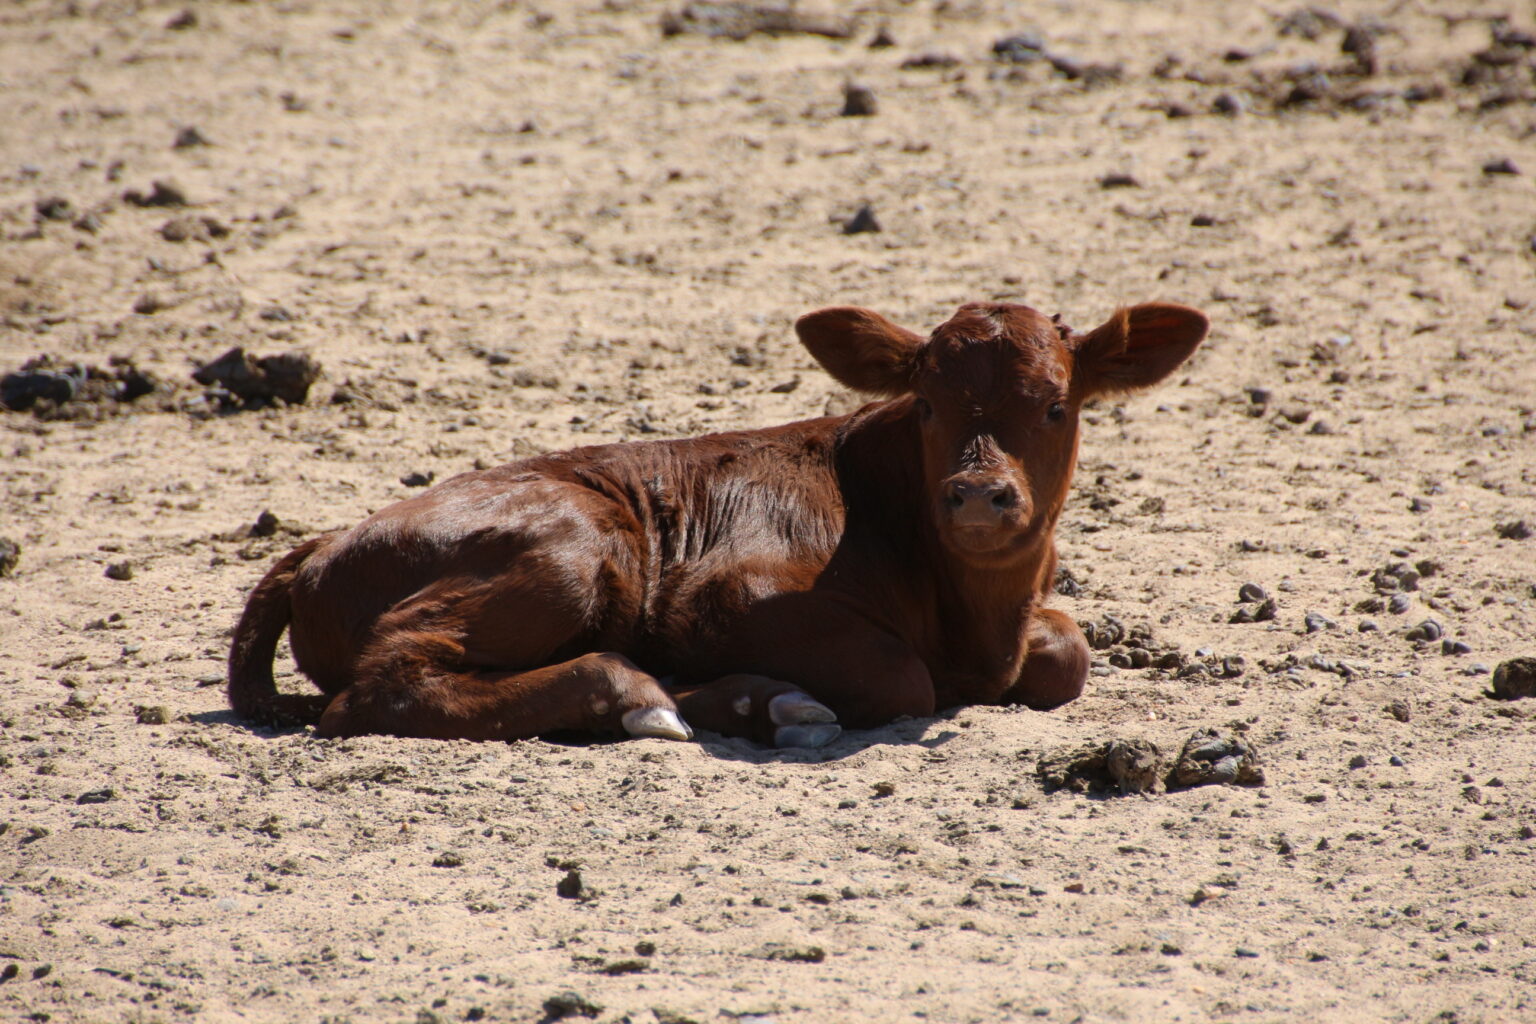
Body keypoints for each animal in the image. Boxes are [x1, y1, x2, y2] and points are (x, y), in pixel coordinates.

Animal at [228, 299, 1208, 747]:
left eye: (1055, 406)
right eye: (926, 404)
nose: (976, 495)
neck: (976, 619)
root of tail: (322, 543)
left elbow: (1067, 654)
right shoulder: (724, 594)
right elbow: (901, 675)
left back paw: (753, 700)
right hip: (571, 542)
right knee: (385, 681)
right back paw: (642, 693)